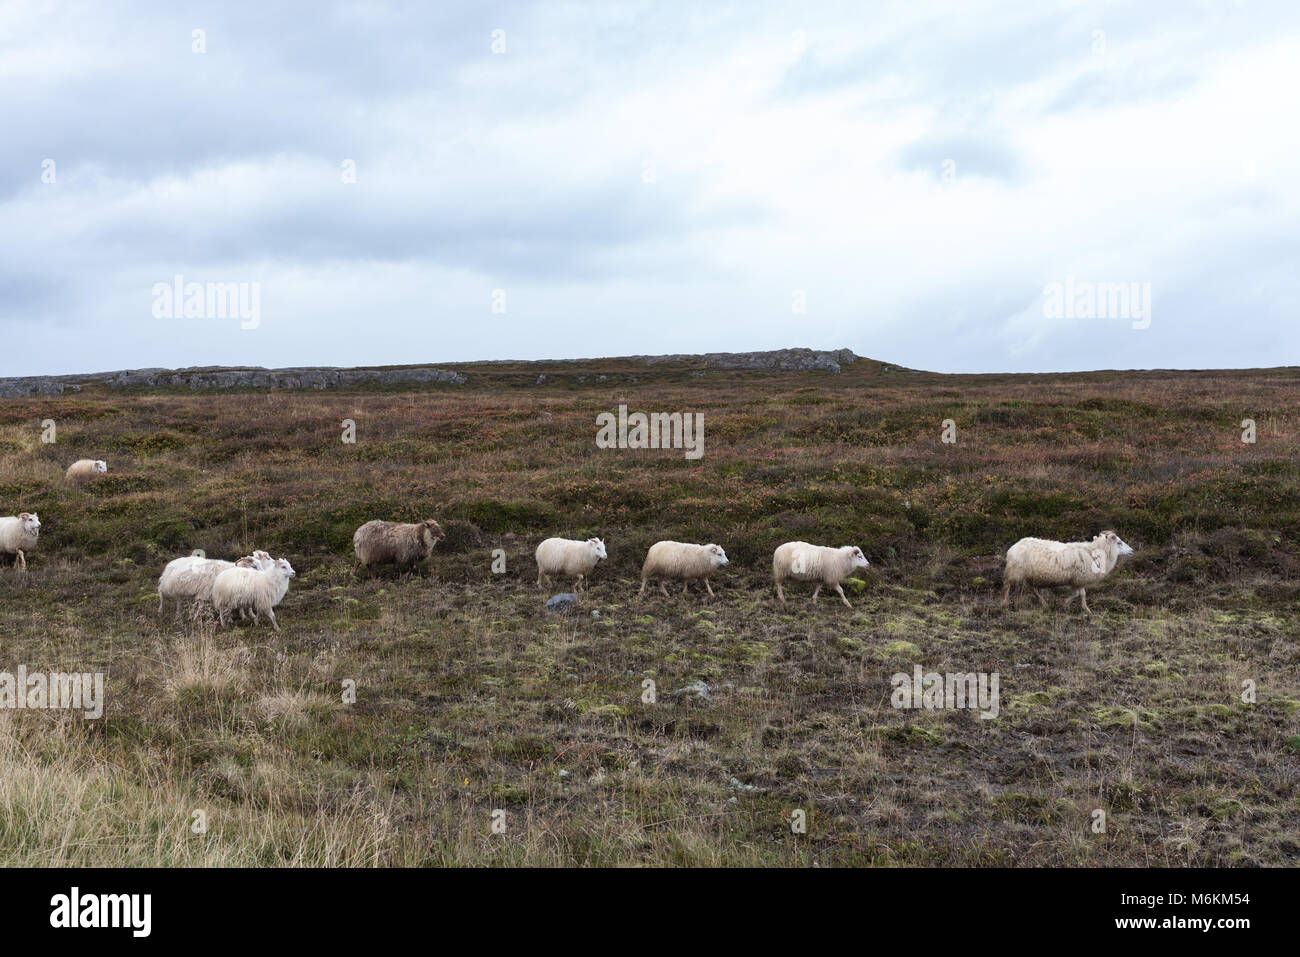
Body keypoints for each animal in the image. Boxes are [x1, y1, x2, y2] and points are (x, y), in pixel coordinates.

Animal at [1002, 530, 1134, 614]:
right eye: (1119, 542)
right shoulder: (1079, 579)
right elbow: (1081, 594)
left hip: (1028, 574)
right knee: (1007, 586)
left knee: (1030, 589)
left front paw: (1067, 605)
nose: (1132, 550)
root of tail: (1013, 547)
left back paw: (1038, 604)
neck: (1094, 552)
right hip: (1015, 571)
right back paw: (1005, 604)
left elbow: (1078, 594)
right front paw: (1085, 609)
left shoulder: (1076, 581)